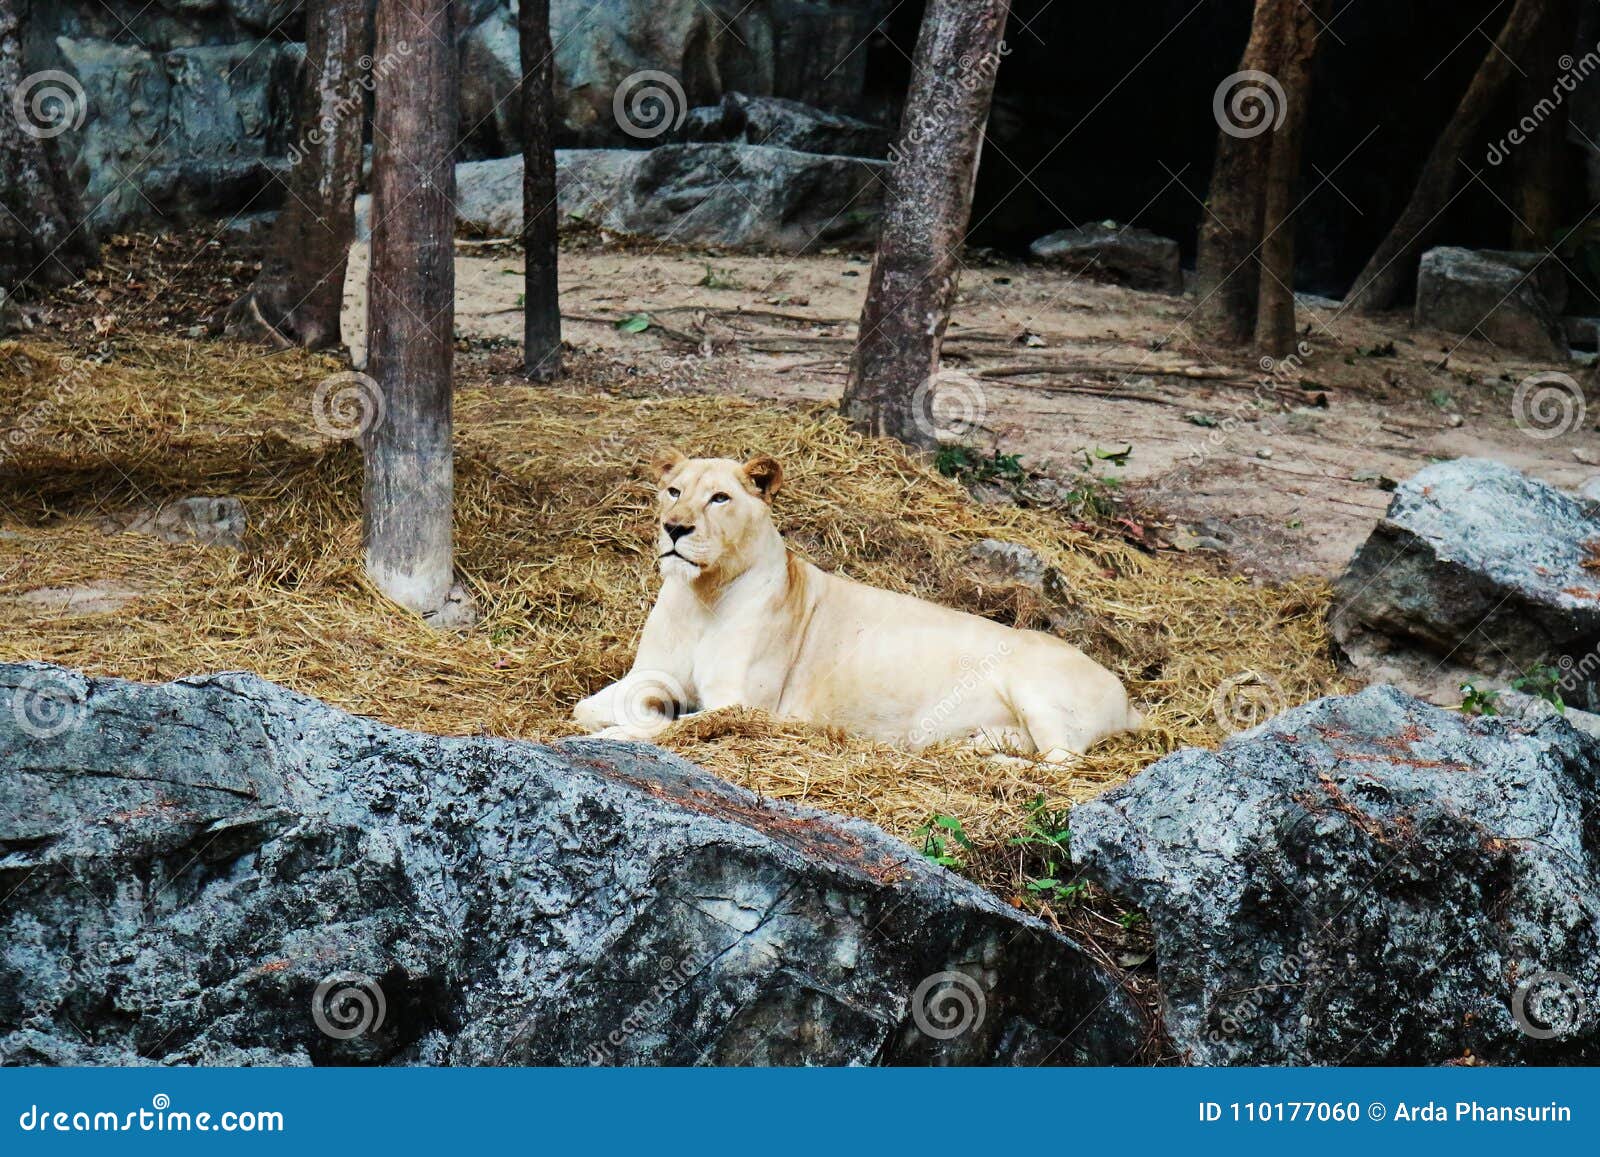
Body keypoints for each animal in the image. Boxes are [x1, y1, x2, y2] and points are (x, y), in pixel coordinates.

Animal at [573, 451, 1143, 760]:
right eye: (673, 491)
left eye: (719, 498)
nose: (675, 529)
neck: (701, 595)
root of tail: (1127, 696)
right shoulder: (650, 675)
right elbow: (588, 707)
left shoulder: (744, 703)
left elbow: (675, 724)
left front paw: (620, 735)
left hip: (1034, 685)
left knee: (1063, 764)